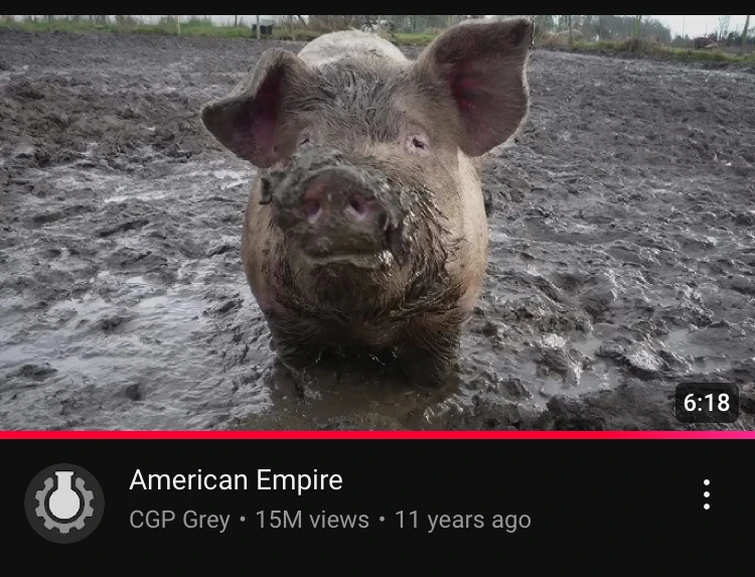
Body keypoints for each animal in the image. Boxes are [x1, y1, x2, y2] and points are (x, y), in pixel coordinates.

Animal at [200, 17, 534, 385]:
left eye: (417, 141)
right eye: (304, 141)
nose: (338, 177)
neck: (363, 321)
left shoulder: (448, 317)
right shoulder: (282, 316)